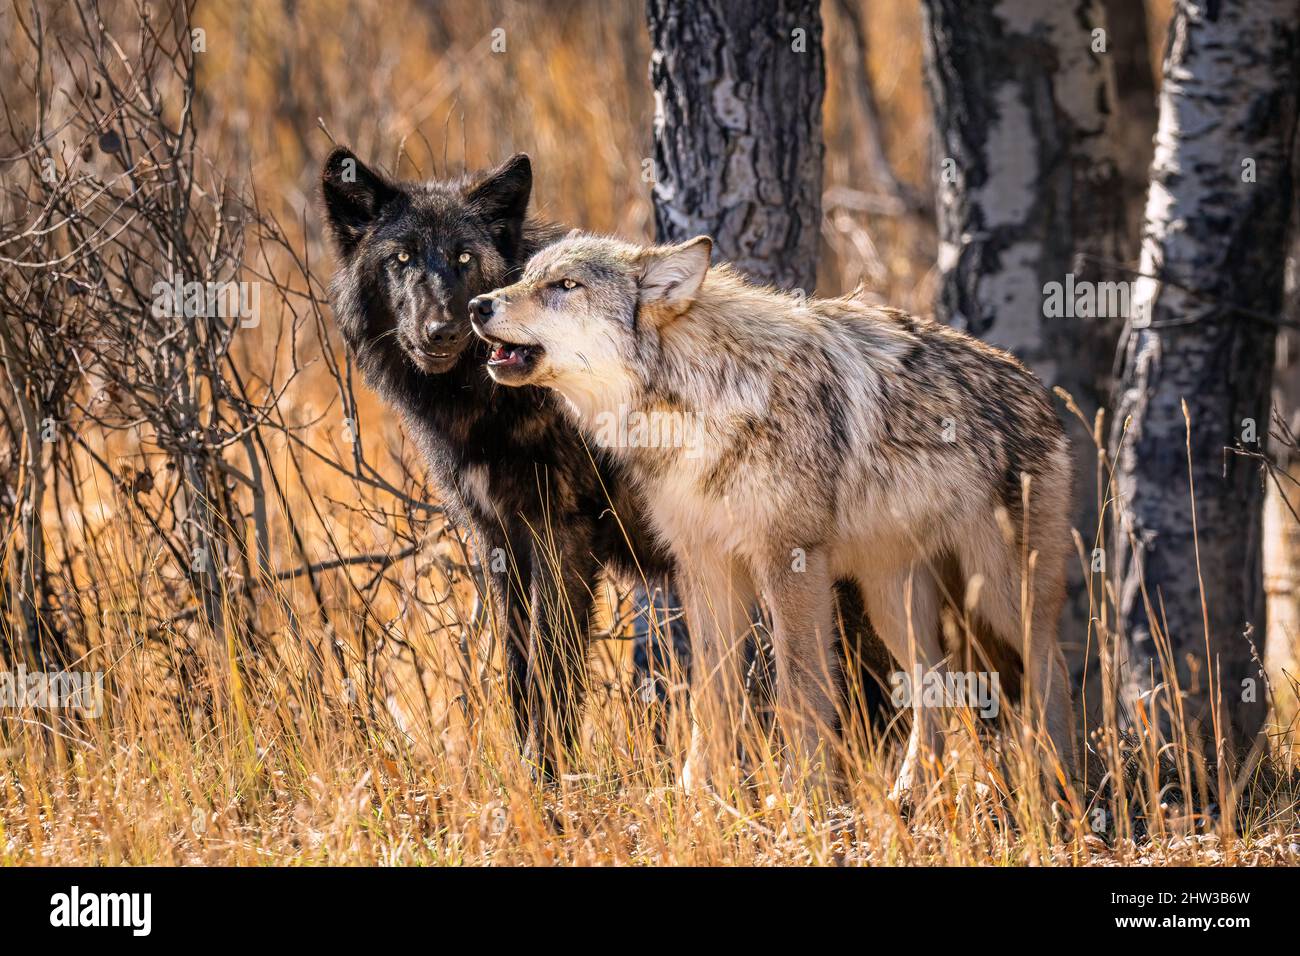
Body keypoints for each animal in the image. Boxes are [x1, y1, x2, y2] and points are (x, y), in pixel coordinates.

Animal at [469, 232, 1078, 798]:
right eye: (527, 277)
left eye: (565, 286)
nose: (478, 305)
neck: (696, 405)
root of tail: (1038, 390)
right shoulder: (705, 568)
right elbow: (710, 697)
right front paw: (697, 798)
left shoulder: (791, 564)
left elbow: (800, 692)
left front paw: (807, 800)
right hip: (894, 601)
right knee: (937, 689)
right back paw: (909, 794)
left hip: (1001, 595)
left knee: (1052, 673)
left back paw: (1061, 790)